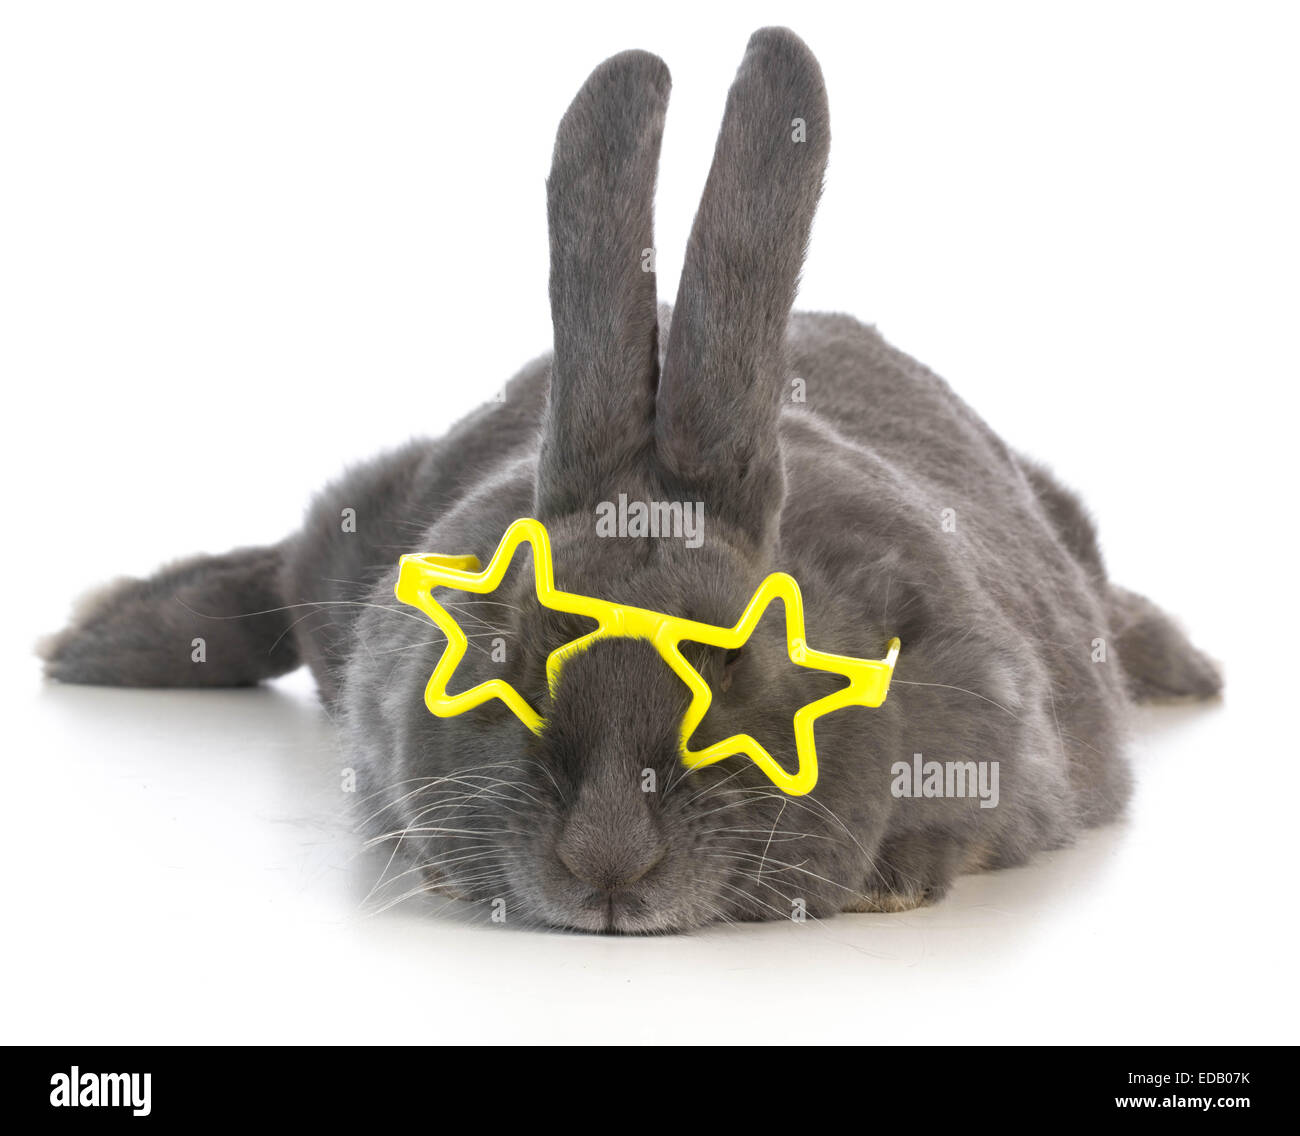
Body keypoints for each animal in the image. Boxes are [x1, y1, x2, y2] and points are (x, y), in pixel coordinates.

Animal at [40, 27, 1221, 933]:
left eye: (739, 661)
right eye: (509, 651)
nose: (605, 861)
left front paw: (887, 887)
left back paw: (1189, 671)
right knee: (281, 570)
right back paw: (91, 642)